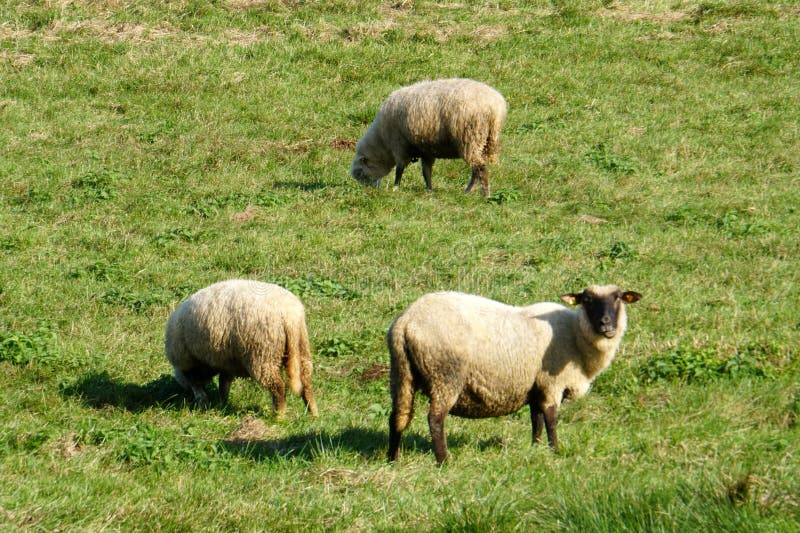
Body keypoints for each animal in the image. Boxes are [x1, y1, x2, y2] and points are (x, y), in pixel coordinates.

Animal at [165, 279, 318, 417]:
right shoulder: (226, 364)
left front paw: (203, 403)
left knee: (278, 387)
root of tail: (289, 316)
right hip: (301, 347)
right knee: (306, 381)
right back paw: (313, 413)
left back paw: (279, 415)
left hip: (263, 354)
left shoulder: (190, 362)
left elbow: (198, 386)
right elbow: (224, 384)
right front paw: (222, 404)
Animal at [350, 78, 507, 198]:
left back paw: (485, 194)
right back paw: (468, 191)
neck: (382, 140)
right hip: (480, 142)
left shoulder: (399, 145)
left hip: (470, 138)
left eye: (360, 173)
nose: (370, 191)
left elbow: (399, 170)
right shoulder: (426, 151)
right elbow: (426, 172)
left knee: (480, 169)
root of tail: (496, 107)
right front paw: (429, 189)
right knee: (476, 170)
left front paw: (395, 187)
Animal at [387, 285, 641, 464]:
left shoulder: (536, 386)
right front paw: (555, 451)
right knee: (435, 419)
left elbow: (536, 419)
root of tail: (406, 321)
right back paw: (444, 461)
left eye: (618, 297)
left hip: (401, 372)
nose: (606, 324)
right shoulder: (551, 383)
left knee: (397, 417)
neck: (576, 336)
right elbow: (551, 419)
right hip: (445, 375)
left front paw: (536, 449)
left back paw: (393, 458)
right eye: (587, 300)